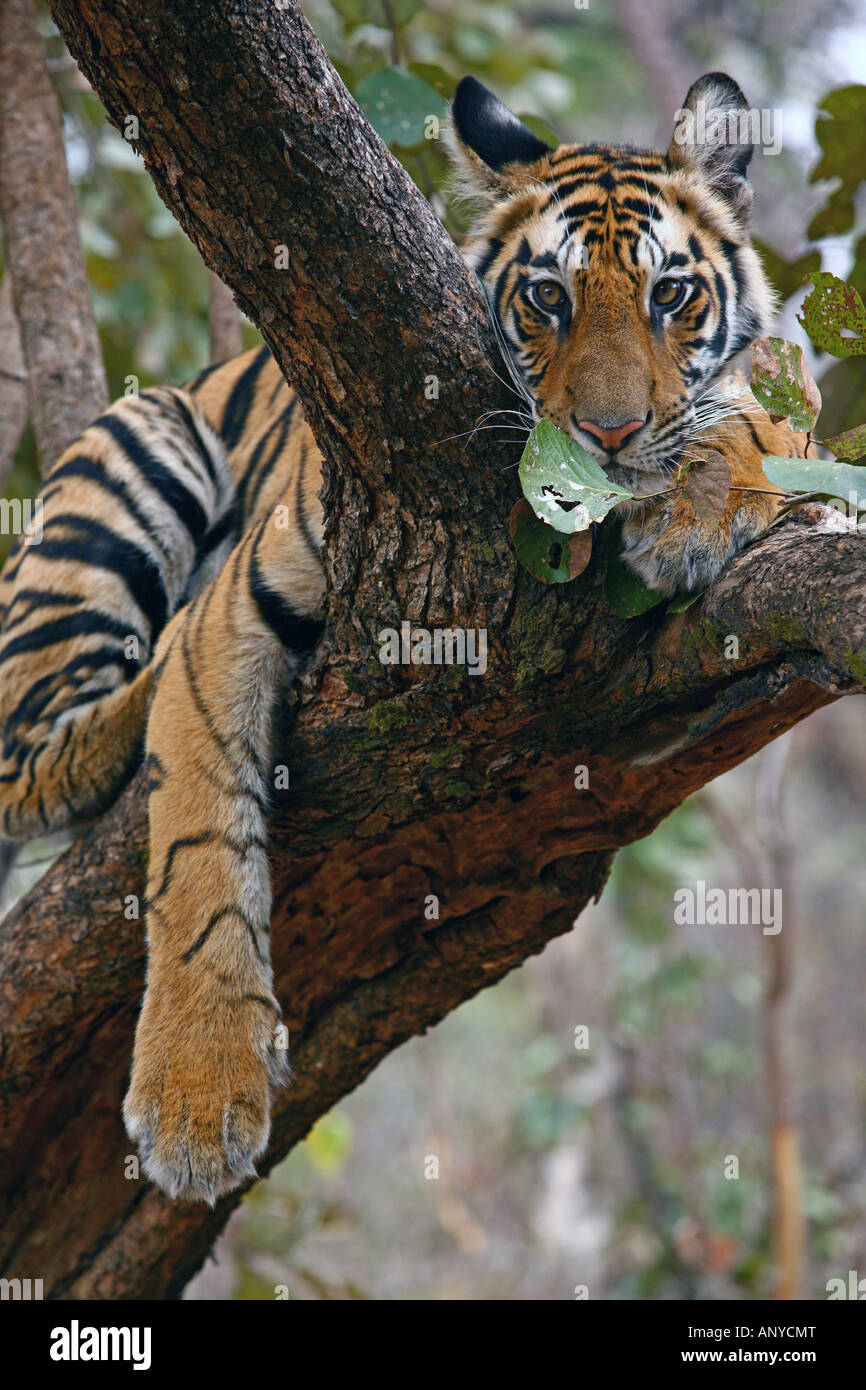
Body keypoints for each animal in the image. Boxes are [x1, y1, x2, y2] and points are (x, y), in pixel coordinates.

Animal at [0, 71, 812, 1203]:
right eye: (547, 299)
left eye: (669, 296)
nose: (606, 434)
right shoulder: (229, 620)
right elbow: (198, 853)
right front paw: (195, 1100)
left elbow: (764, 416)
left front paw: (696, 506)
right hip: (125, 462)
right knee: (27, 744)